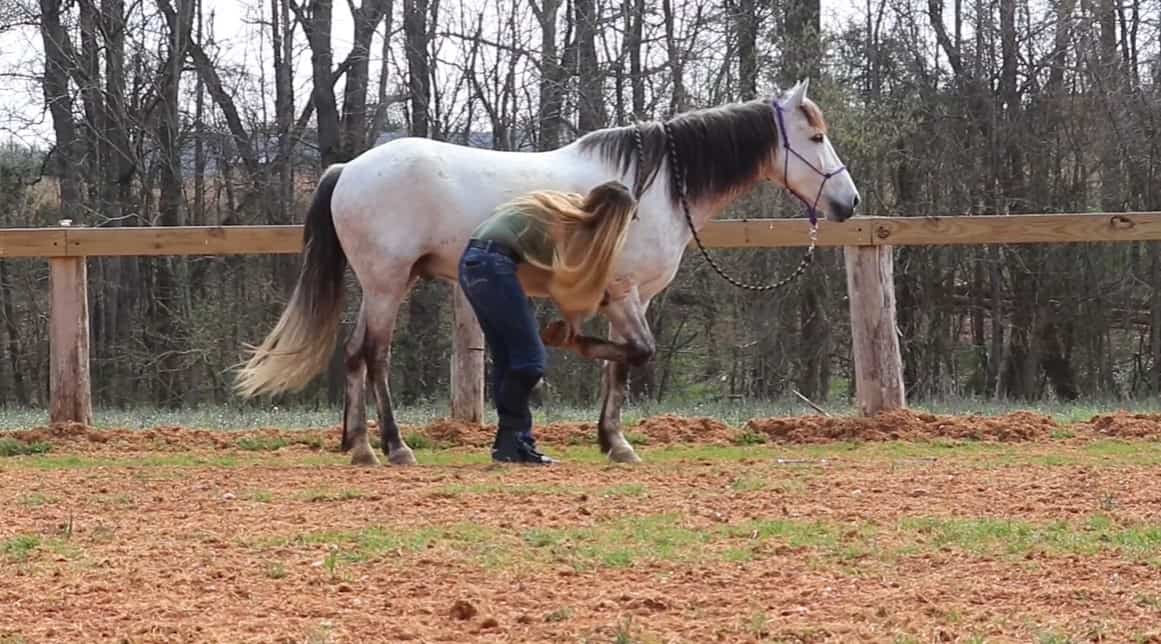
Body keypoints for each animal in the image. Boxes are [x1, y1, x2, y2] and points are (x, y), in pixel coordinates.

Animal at [234, 79, 860, 466]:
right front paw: (585, 379)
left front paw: (613, 441)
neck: (654, 185)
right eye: (816, 137)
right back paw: (391, 447)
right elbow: (635, 355)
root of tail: (351, 167)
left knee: (356, 356)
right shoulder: (626, 292)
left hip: (386, 284)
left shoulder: (628, 298)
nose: (848, 202)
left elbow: (620, 368)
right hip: (387, 283)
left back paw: (357, 445)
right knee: (375, 356)